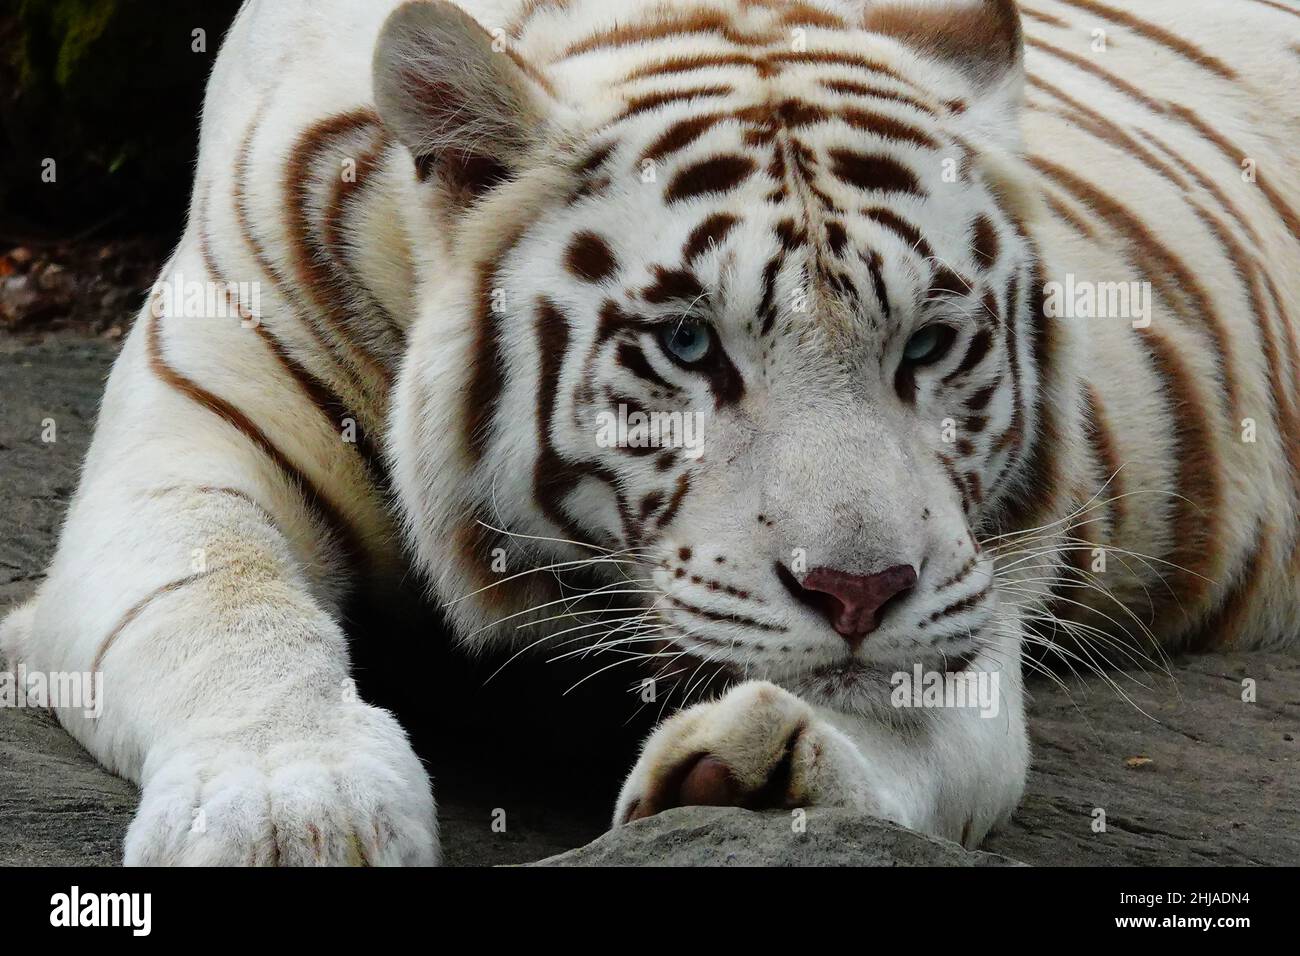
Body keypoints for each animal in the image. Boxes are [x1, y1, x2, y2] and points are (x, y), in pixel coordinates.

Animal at [2, 0, 1297, 866]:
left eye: (928, 345)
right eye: (686, 343)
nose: (858, 590)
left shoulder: (973, 576)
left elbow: (938, 713)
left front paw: (776, 773)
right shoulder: (193, 435)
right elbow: (218, 607)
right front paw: (293, 808)